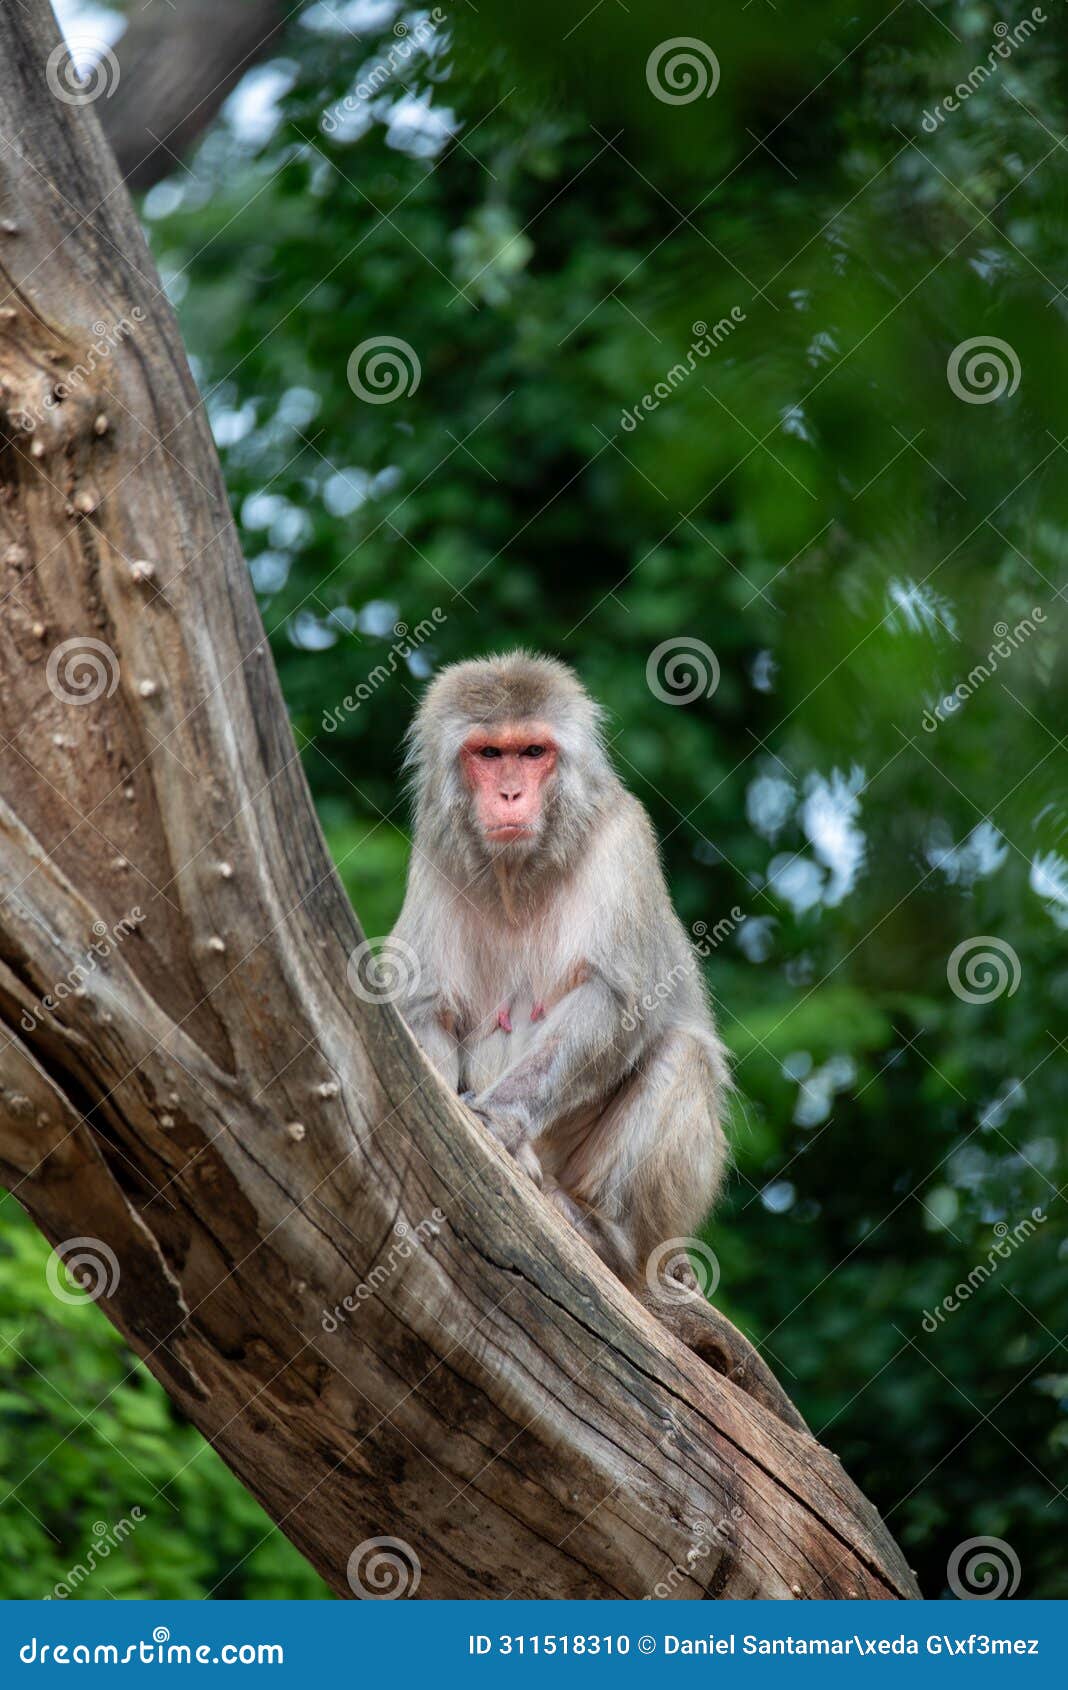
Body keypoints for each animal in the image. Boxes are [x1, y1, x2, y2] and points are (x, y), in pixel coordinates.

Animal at [389, 650, 802, 1425]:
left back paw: (599, 1233)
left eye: (533, 753)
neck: (520, 874)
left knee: (680, 1055)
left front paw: (498, 1120)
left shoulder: (622, 837)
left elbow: (620, 1001)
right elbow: (429, 1011)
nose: (511, 793)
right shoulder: (434, 856)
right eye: (488, 754)